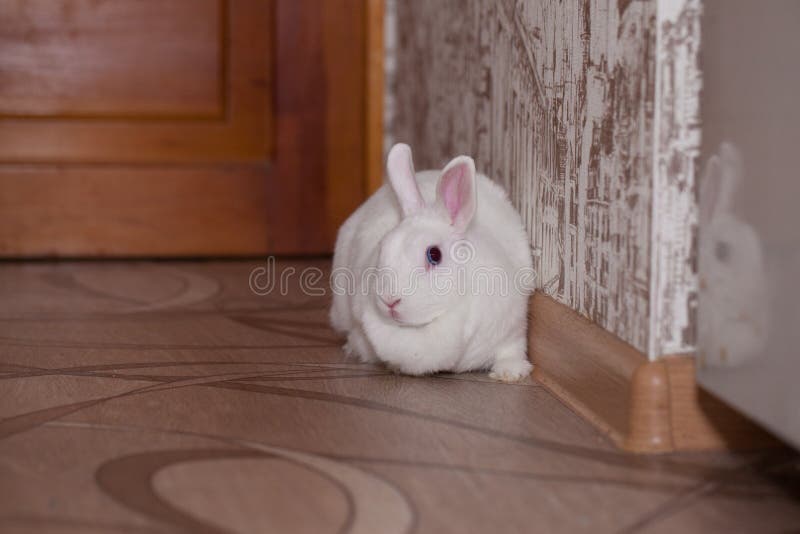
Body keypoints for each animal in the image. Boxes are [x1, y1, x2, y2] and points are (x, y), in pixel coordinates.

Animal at [329, 143, 534, 382]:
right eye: (382, 247)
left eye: (434, 255)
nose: (389, 300)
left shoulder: (512, 326)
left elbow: (512, 349)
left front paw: (509, 373)